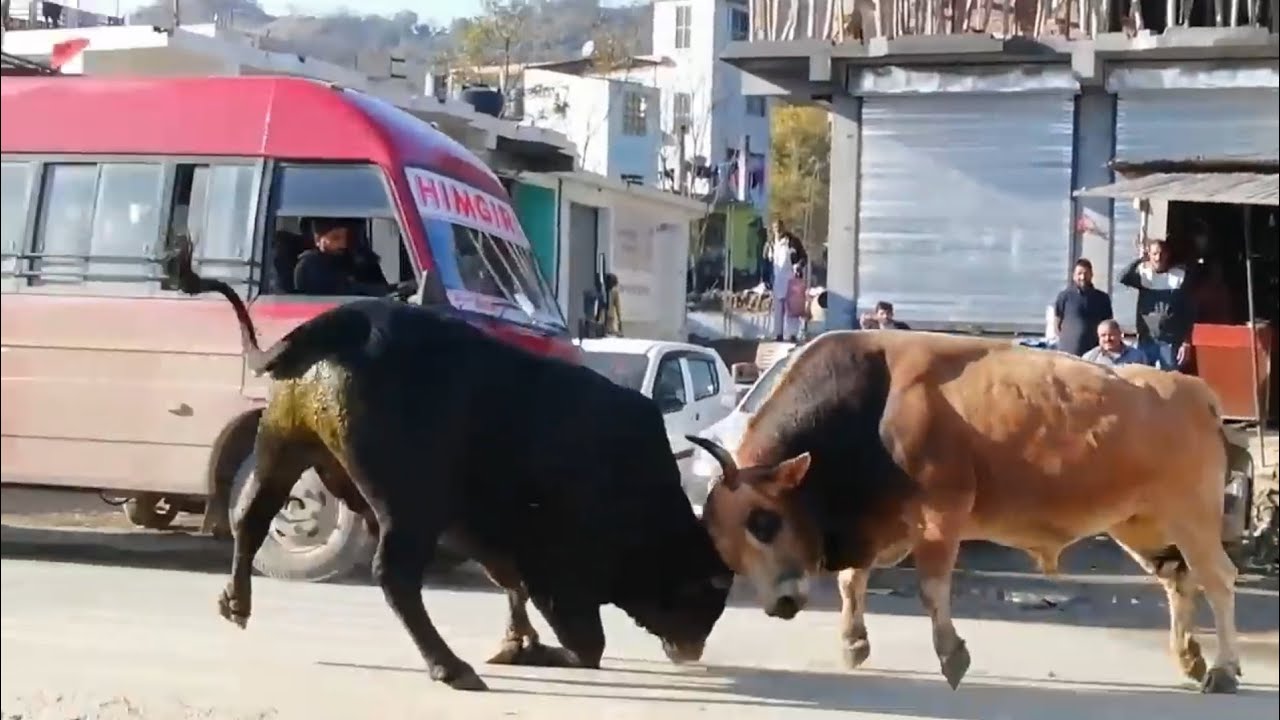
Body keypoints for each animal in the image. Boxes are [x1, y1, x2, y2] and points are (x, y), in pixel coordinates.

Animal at [164, 240, 732, 692]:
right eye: (706, 596)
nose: (693, 650)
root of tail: (348, 321)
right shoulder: (557, 570)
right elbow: (585, 643)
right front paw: (528, 648)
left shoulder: (494, 539)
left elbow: (512, 586)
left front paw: (517, 640)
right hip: (407, 506)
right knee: (394, 575)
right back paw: (450, 667)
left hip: (283, 445)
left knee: (251, 520)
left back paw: (236, 603)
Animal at [688, 329, 1246, 694]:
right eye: (724, 544)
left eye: (764, 521)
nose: (780, 603)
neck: (874, 405)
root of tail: (1192, 390)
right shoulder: (880, 525)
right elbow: (852, 580)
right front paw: (853, 642)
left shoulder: (941, 512)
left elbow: (931, 588)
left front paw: (951, 655)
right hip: (1140, 524)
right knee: (1178, 579)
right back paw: (1189, 657)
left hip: (1191, 516)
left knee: (1218, 579)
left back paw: (1224, 669)